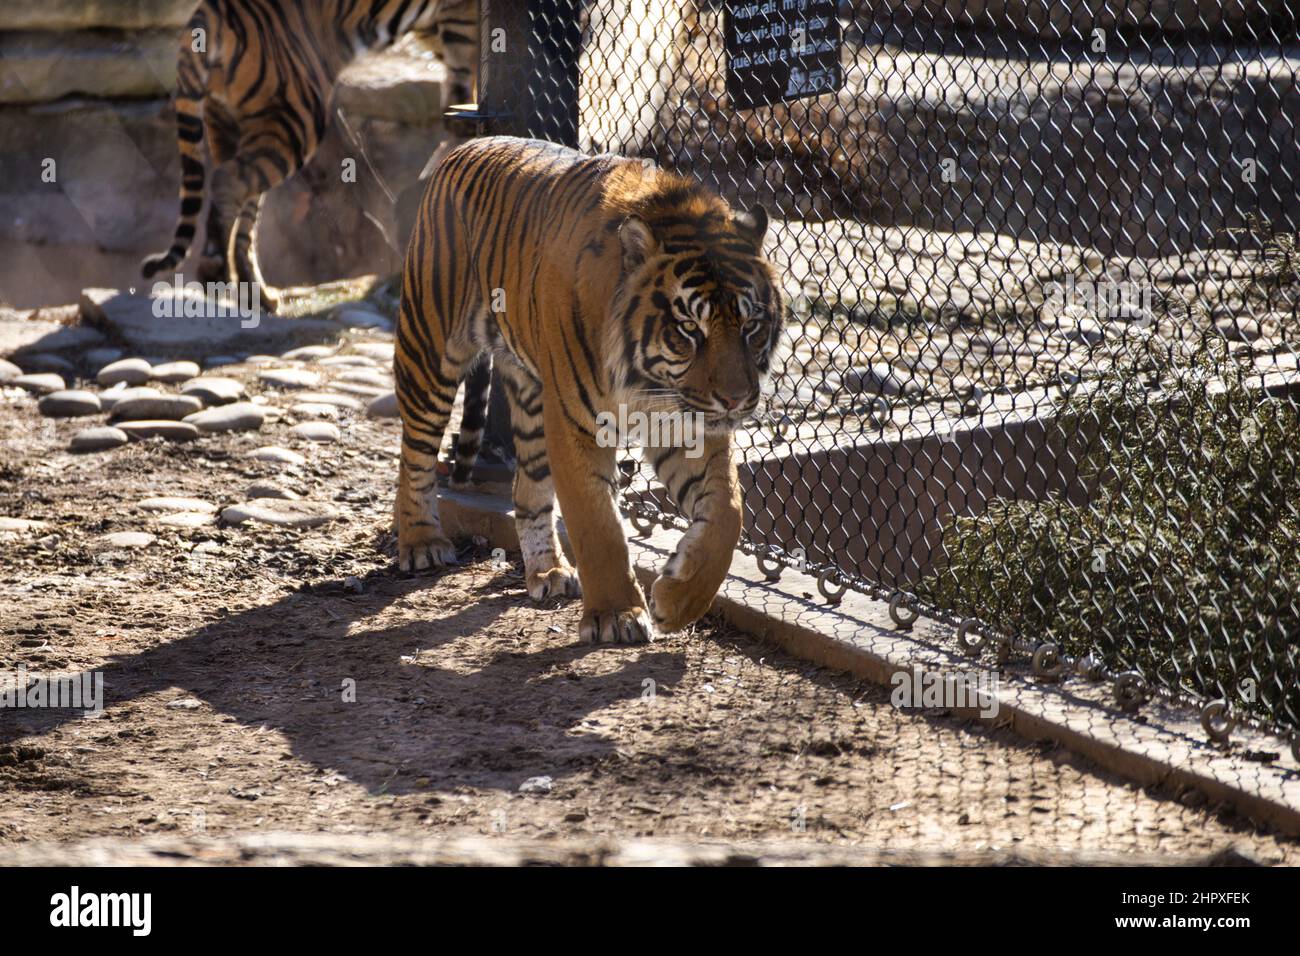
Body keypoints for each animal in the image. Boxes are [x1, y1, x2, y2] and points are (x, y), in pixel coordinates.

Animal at [141, 0, 478, 311]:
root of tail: (209, 12)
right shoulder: (459, 17)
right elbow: (464, 72)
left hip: (231, 122)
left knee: (245, 205)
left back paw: (257, 294)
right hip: (297, 119)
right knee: (229, 181)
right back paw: (215, 271)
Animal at [395, 136, 784, 643]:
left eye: (751, 326)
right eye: (689, 329)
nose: (737, 399)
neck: (648, 384)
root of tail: (466, 145)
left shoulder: (687, 424)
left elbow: (727, 515)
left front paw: (676, 601)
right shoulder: (576, 425)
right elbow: (597, 525)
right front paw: (616, 615)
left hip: (531, 397)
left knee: (527, 489)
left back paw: (548, 572)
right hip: (430, 350)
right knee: (414, 455)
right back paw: (421, 542)